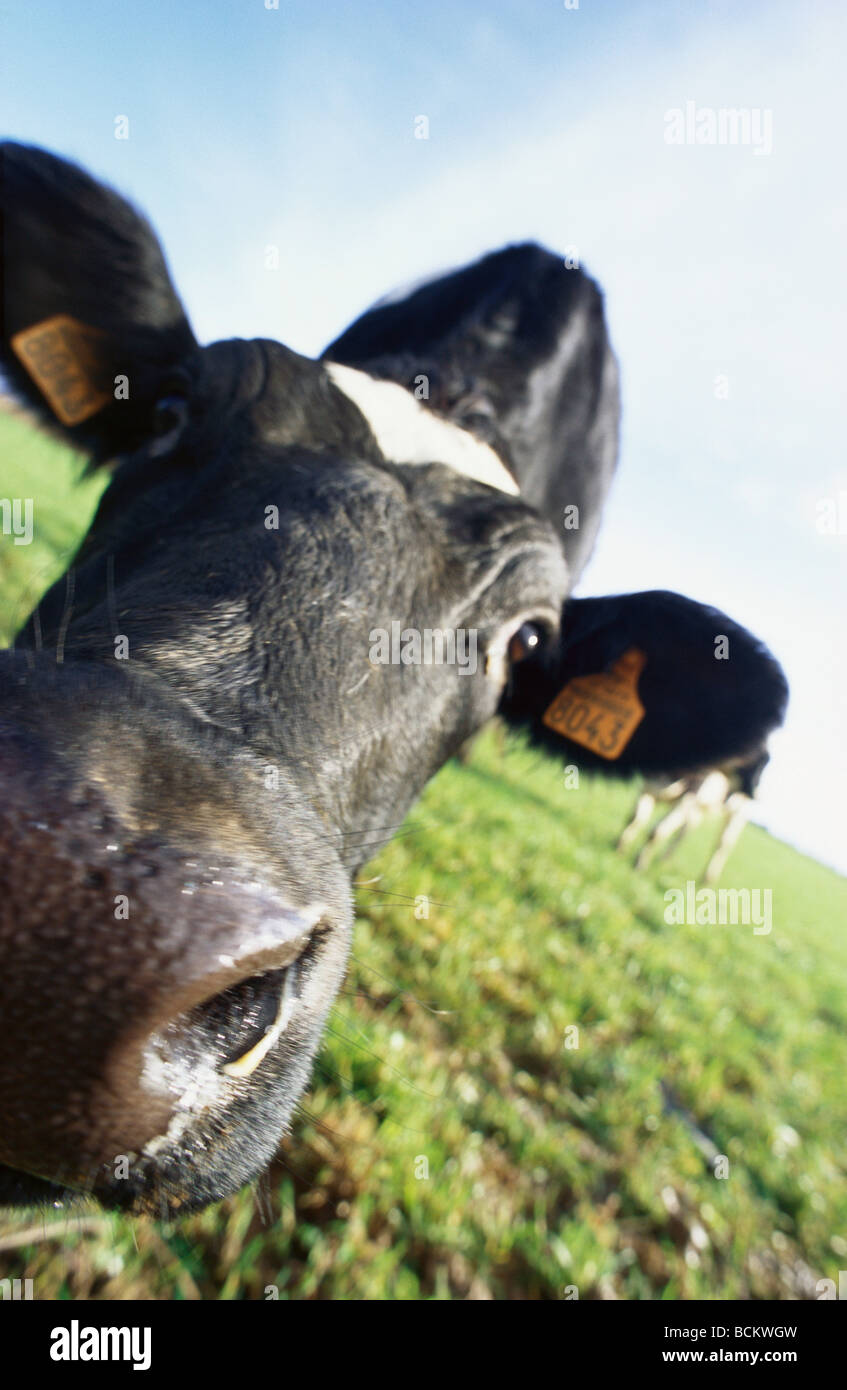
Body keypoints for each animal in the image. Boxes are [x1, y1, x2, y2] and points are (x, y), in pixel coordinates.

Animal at [617, 750, 770, 881]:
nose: (756, 793)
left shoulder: (688, 798)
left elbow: (656, 831)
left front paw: (639, 864)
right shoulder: (647, 786)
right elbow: (635, 818)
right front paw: (619, 847)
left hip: (737, 813)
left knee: (723, 844)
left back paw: (707, 879)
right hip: (698, 808)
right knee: (686, 830)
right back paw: (664, 860)